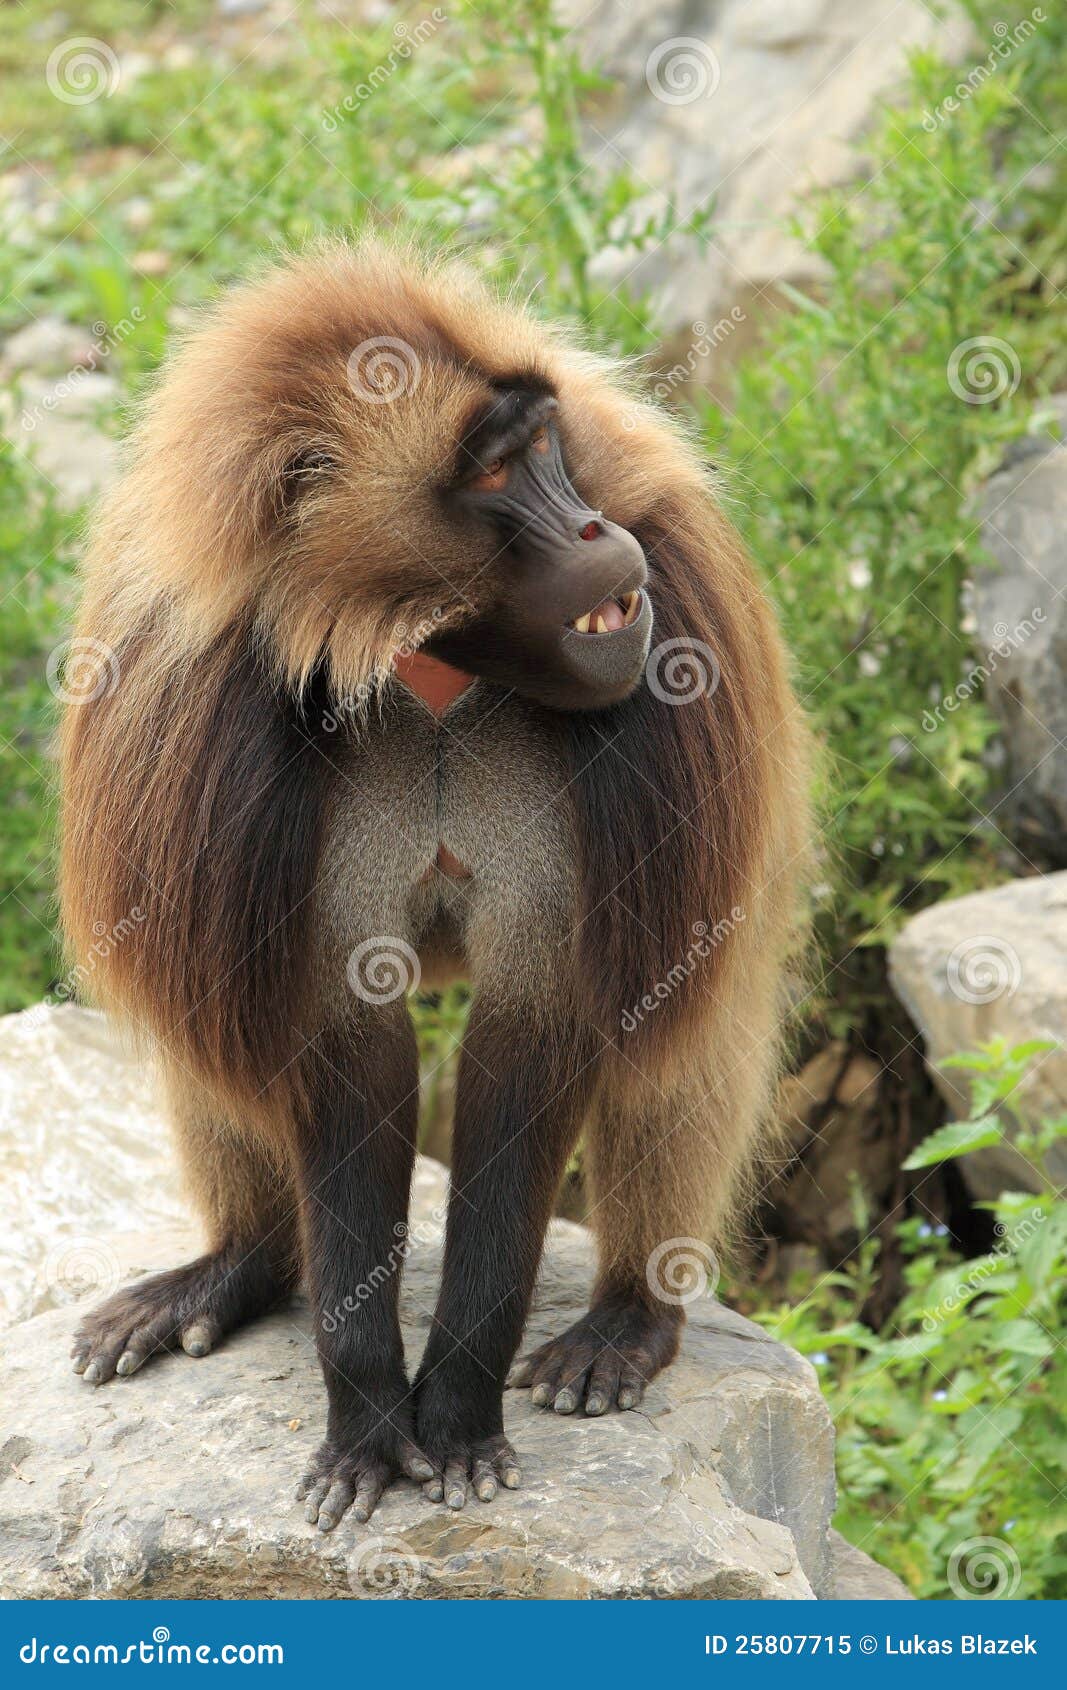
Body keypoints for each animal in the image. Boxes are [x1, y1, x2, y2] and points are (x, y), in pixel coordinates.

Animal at [59, 241, 811, 1529]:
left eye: (547, 443)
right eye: (498, 470)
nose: (598, 527)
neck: (423, 653)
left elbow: (536, 1026)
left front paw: (455, 1409)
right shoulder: (215, 697)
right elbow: (336, 1038)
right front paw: (367, 1420)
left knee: (683, 1028)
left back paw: (625, 1316)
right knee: (212, 1012)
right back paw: (236, 1267)